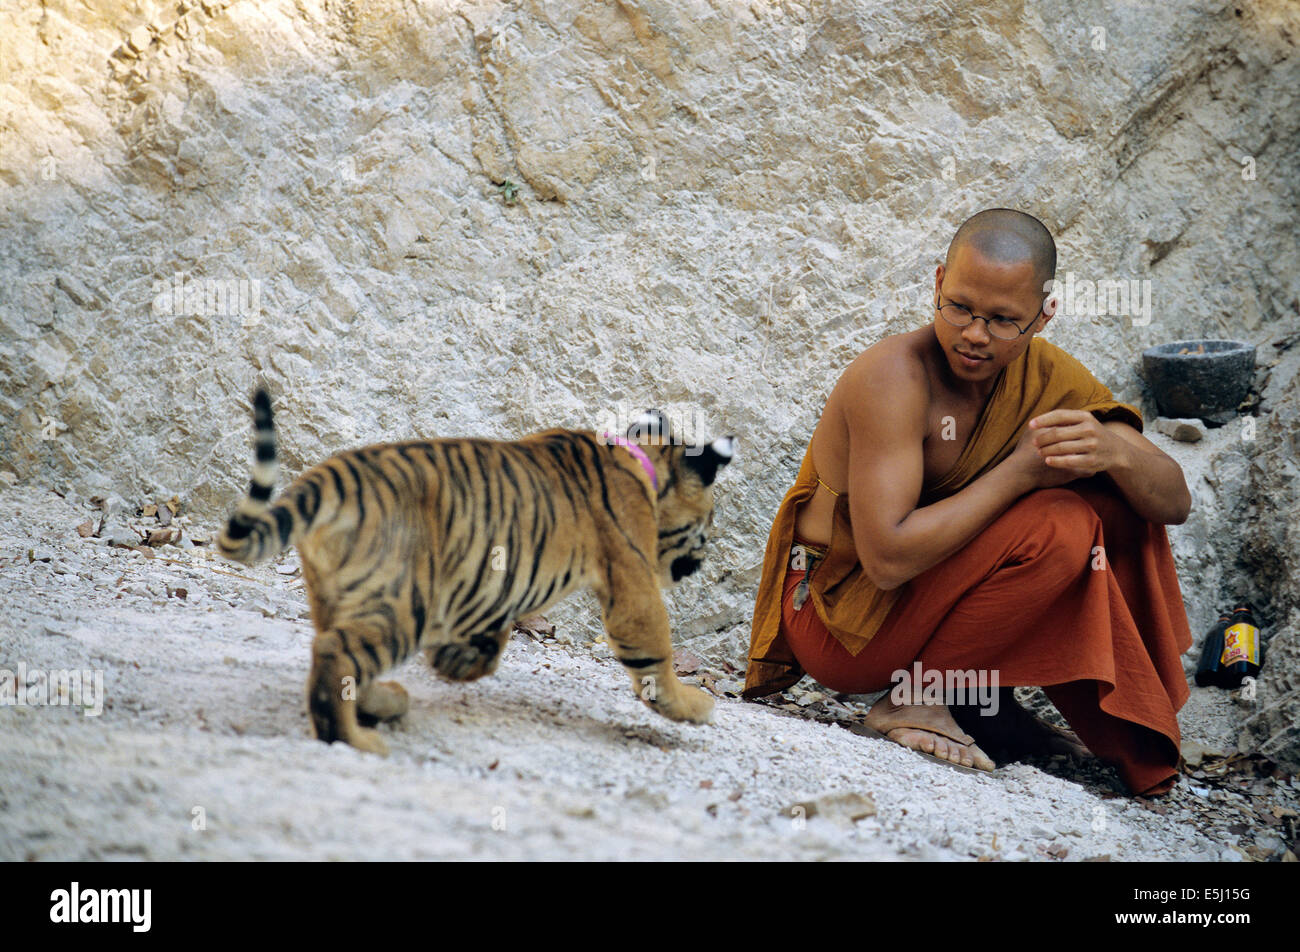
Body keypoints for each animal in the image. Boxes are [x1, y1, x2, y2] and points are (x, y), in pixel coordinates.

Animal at [216, 389, 734, 755]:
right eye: (709, 522)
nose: (702, 561)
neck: (644, 460)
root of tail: (332, 475)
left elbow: (489, 636)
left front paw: (456, 663)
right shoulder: (631, 577)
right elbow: (654, 647)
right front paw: (690, 705)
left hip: (337, 592)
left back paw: (382, 702)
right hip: (403, 600)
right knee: (335, 652)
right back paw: (355, 740)